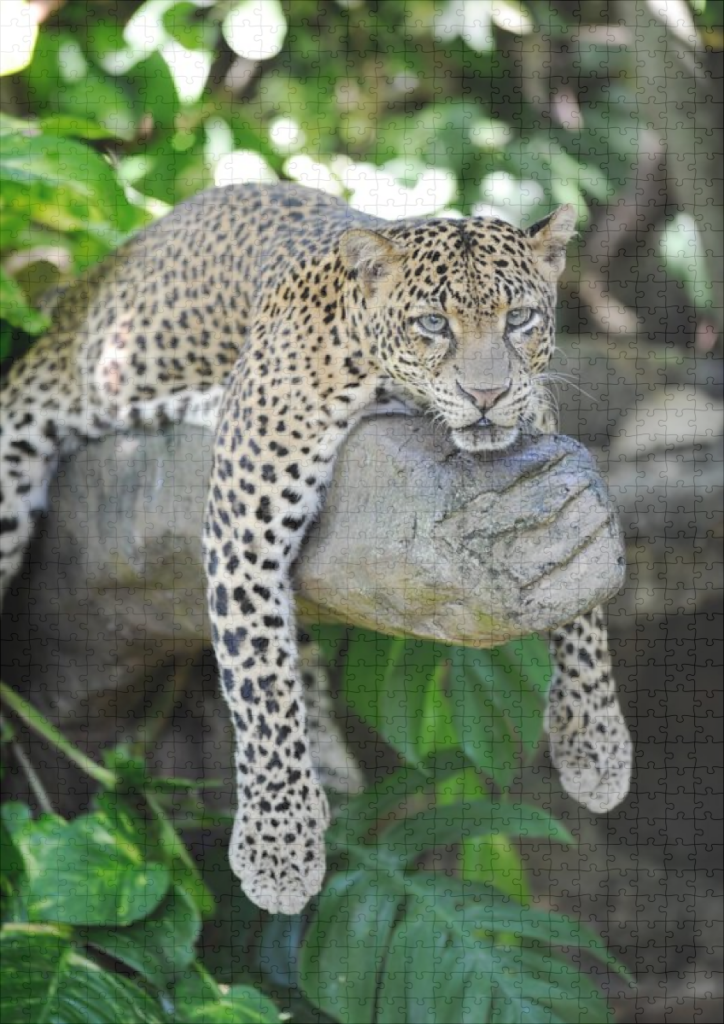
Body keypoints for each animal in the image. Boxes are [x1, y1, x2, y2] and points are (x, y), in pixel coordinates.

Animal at [0, 182, 632, 915]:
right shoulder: (243, 523)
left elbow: (582, 606)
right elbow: (260, 680)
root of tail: (81, 284)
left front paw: (595, 741)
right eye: (433, 324)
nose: (487, 395)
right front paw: (279, 848)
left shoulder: (547, 437)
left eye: (521, 318)